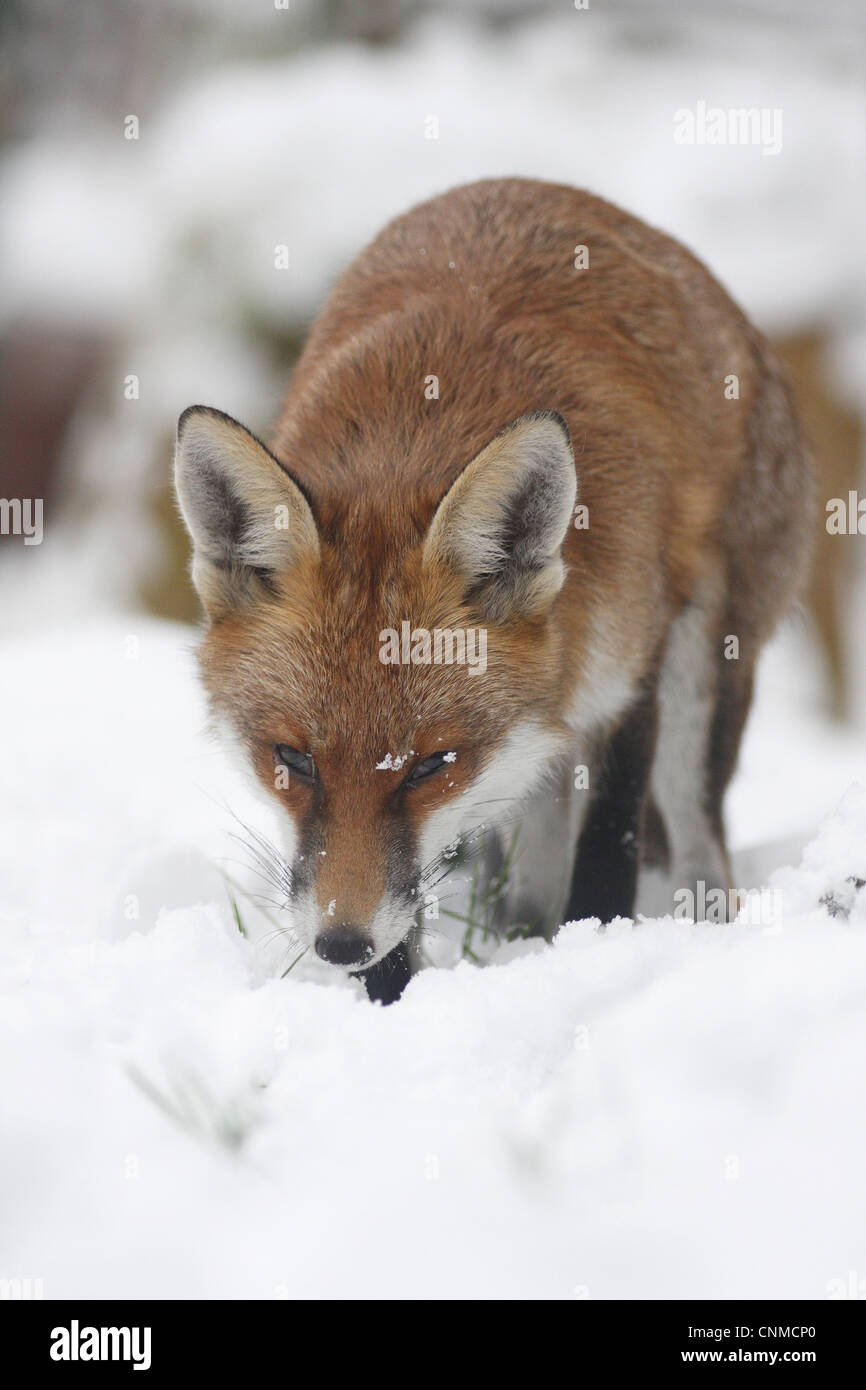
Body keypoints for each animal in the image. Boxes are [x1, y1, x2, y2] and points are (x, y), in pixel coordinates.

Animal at [175, 178, 813, 1004]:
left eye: (430, 765)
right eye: (293, 758)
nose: (340, 944)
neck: (408, 439)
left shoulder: (629, 670)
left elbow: (606, 854)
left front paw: (596, 951)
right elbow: (406, 922)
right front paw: (395, 1006)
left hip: (702, 669)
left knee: (702, 845)